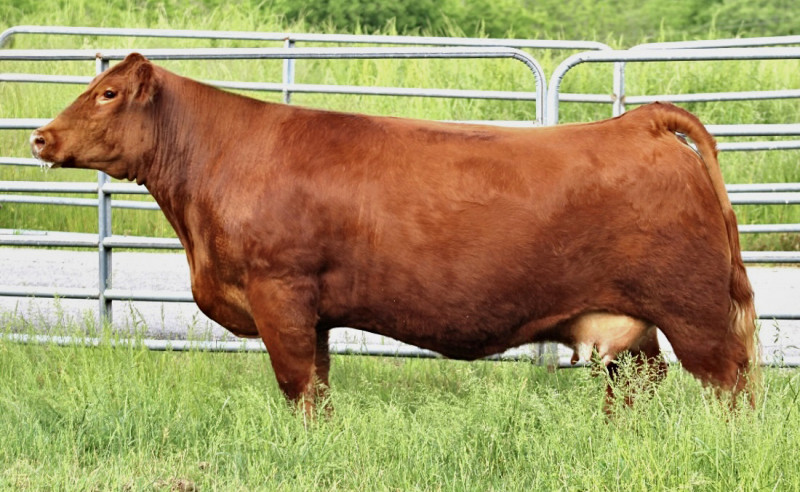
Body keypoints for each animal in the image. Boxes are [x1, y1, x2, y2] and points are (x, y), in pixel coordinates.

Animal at [31, 53, 758, 413]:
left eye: (107, 94)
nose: (40, 136)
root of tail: (637, 122)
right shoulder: (314, 315)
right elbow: (318, 386)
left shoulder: (280, 293)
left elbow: (299, 389)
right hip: (633, 327)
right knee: (636, 389)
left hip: (694, 312)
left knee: (736, 390)